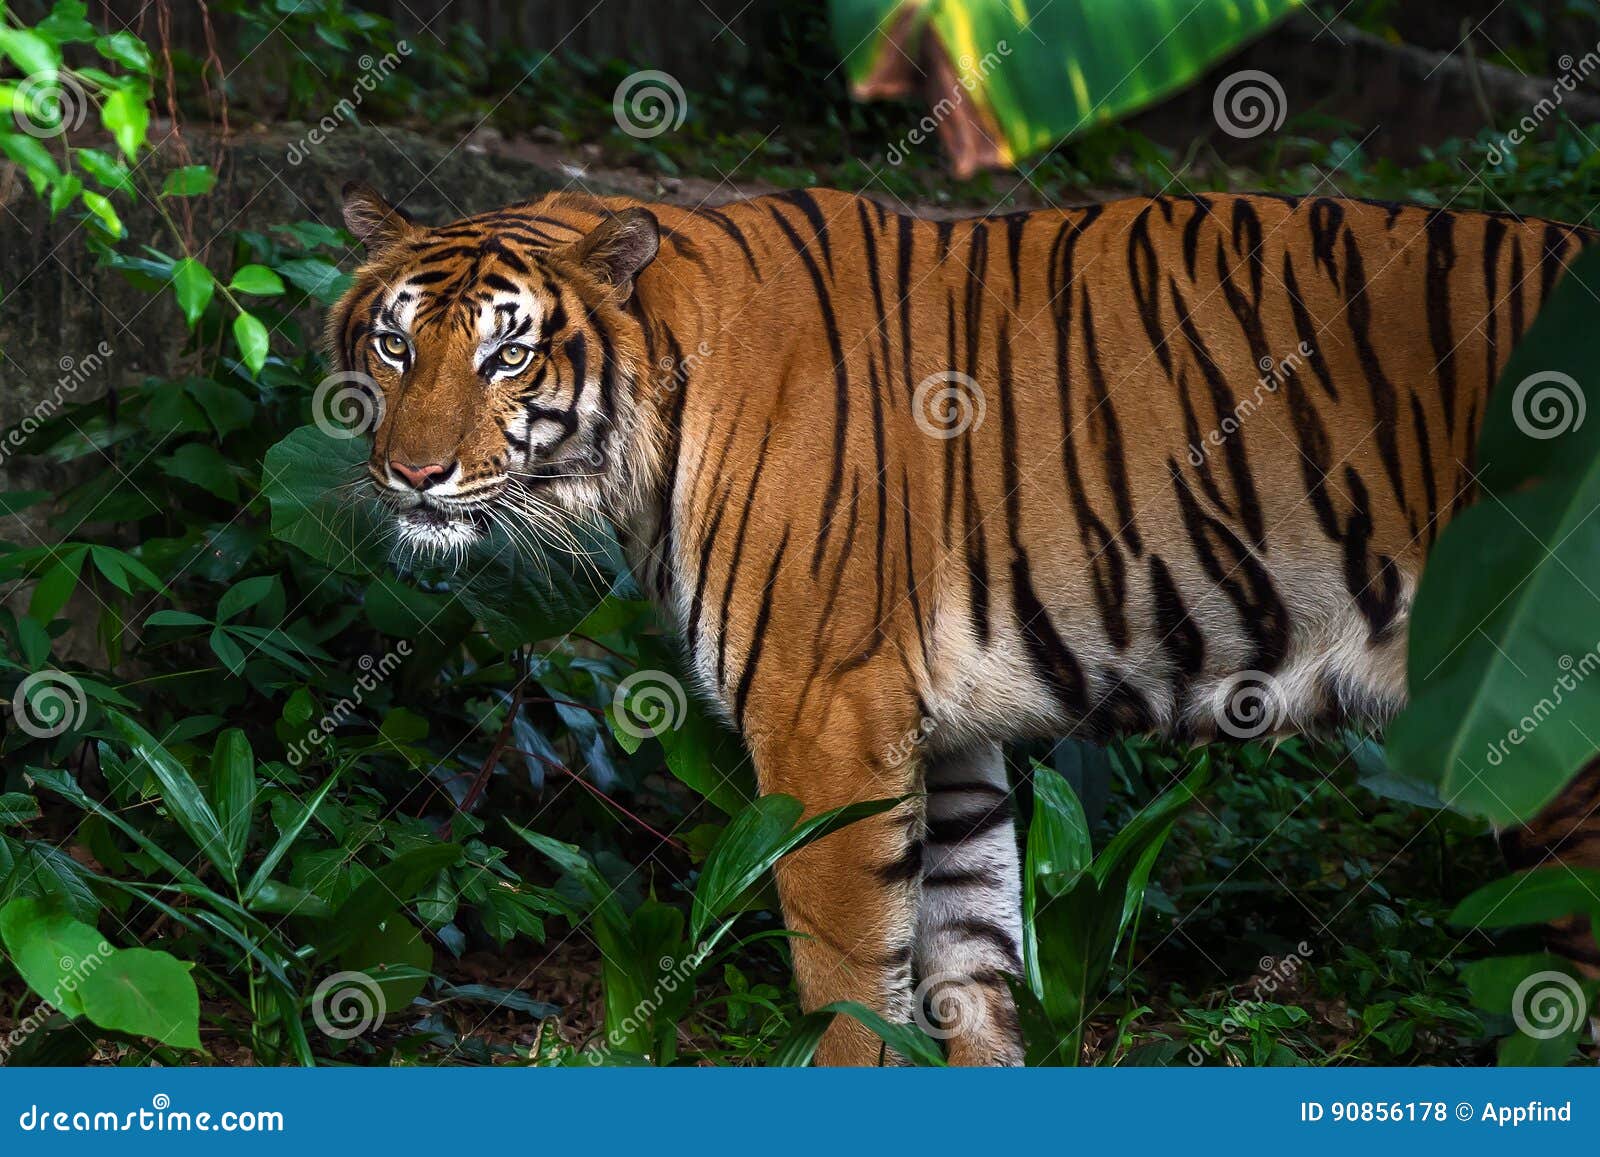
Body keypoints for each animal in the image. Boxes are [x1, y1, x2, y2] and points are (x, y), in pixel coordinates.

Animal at [328, 180, 1600, 1066]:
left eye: (508, 353)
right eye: (395, 343)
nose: (411, 473)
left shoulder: (824, 720)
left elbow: (848, 993)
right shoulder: (945, 739)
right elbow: (968, 963)